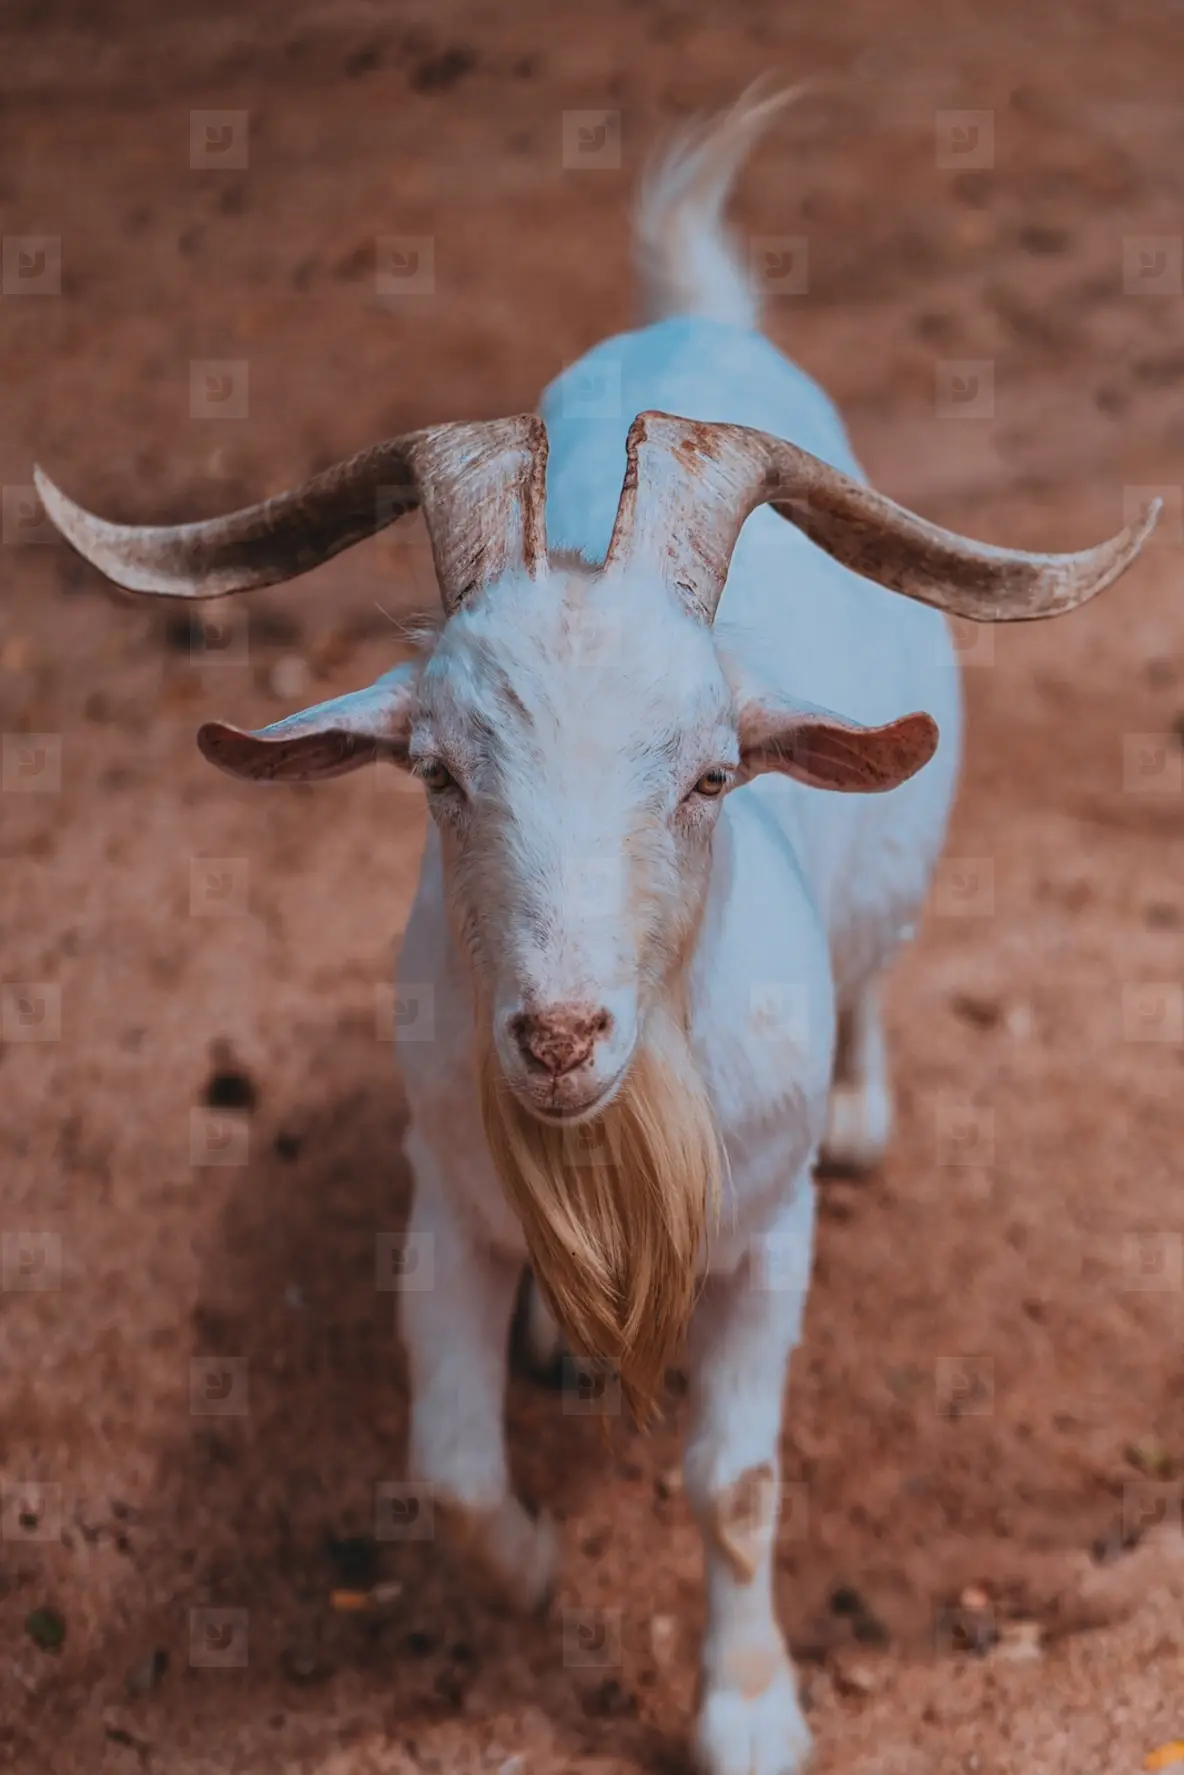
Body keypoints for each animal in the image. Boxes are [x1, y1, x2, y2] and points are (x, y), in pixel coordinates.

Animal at [38, 88, 1156, 1775]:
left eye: (711, 773)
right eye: (437, 771)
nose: (560, 1034)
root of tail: (698, 315)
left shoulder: (769, 1241)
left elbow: (737, 1483)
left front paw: (750, 1711)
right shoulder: (445, 1205)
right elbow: (448, 1468)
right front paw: (538, 1567)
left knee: (878, 966)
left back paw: (866, 1106)